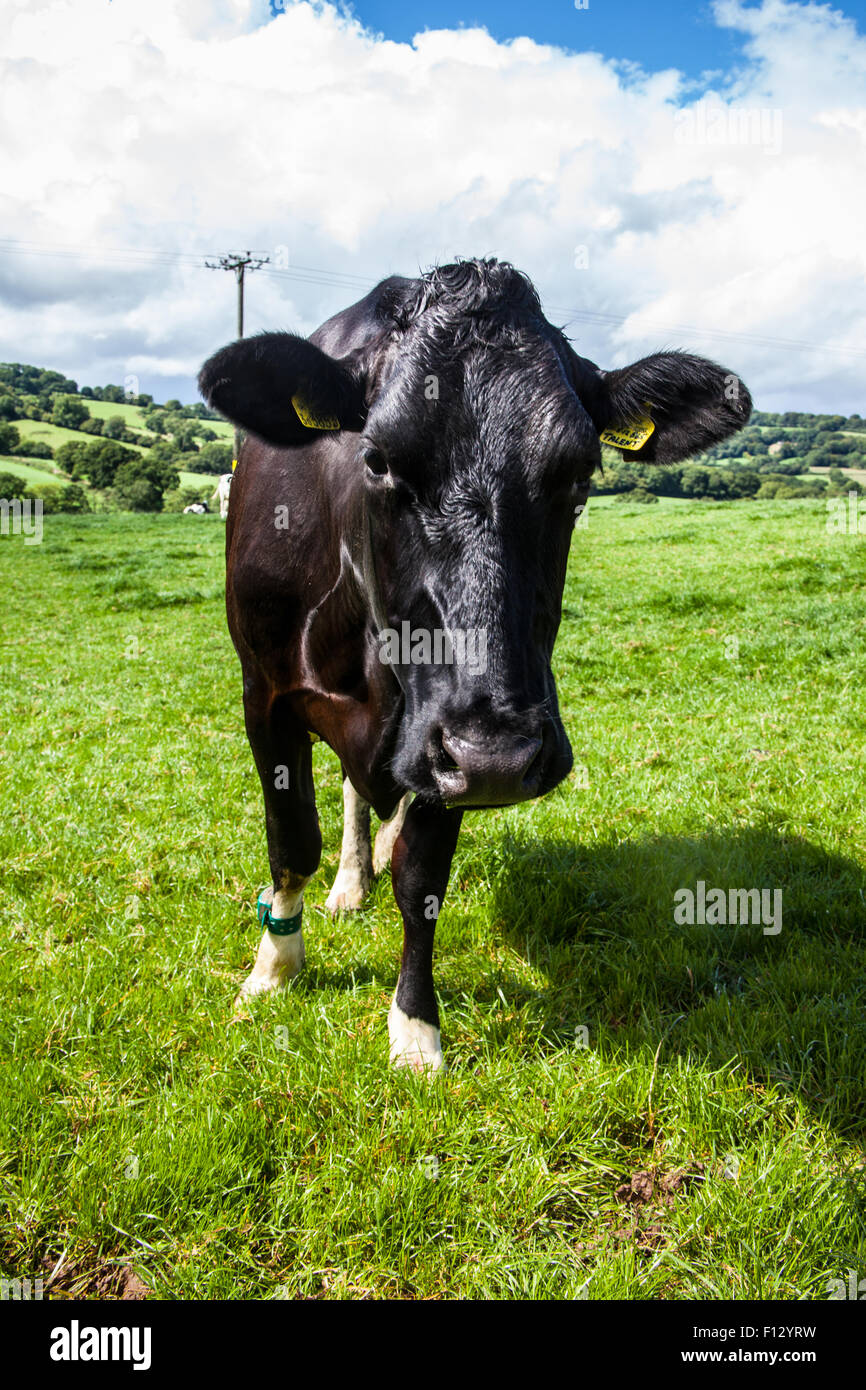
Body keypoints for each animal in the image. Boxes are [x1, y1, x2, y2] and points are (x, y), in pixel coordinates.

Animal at [198, 258, 750, 1072]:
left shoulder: (446, 737)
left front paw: (414, 1026)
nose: (499, 755)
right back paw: (350, 881)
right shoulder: (264, 694)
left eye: (580, 475)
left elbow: (422, 880)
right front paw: (274, 969)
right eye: (376, 459)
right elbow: (291, 839)